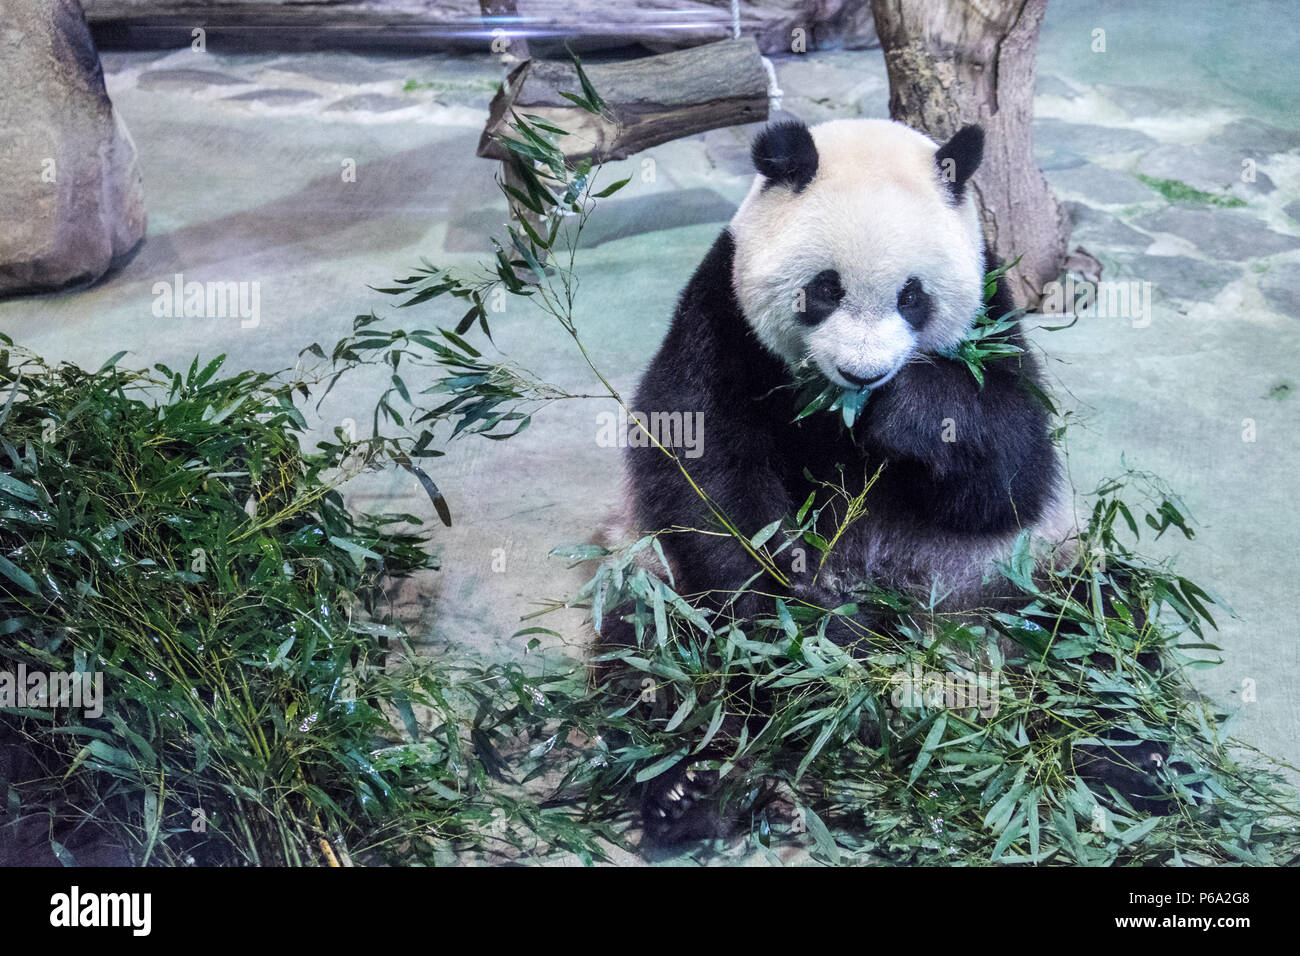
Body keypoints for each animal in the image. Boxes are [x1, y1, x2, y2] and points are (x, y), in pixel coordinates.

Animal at [604, 117, 1166, 844]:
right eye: (825, 289)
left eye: (912, 295)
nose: (863, 374)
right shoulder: (721, 319)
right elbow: (698, 465)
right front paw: (800, 610)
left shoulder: (993, 318)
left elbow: (1016, 464)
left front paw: (908, 412)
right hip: (650, 583)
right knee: (649, 645)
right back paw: (689, 780)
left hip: (1015, 582)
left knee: (1104, 624)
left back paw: (1134, 762)